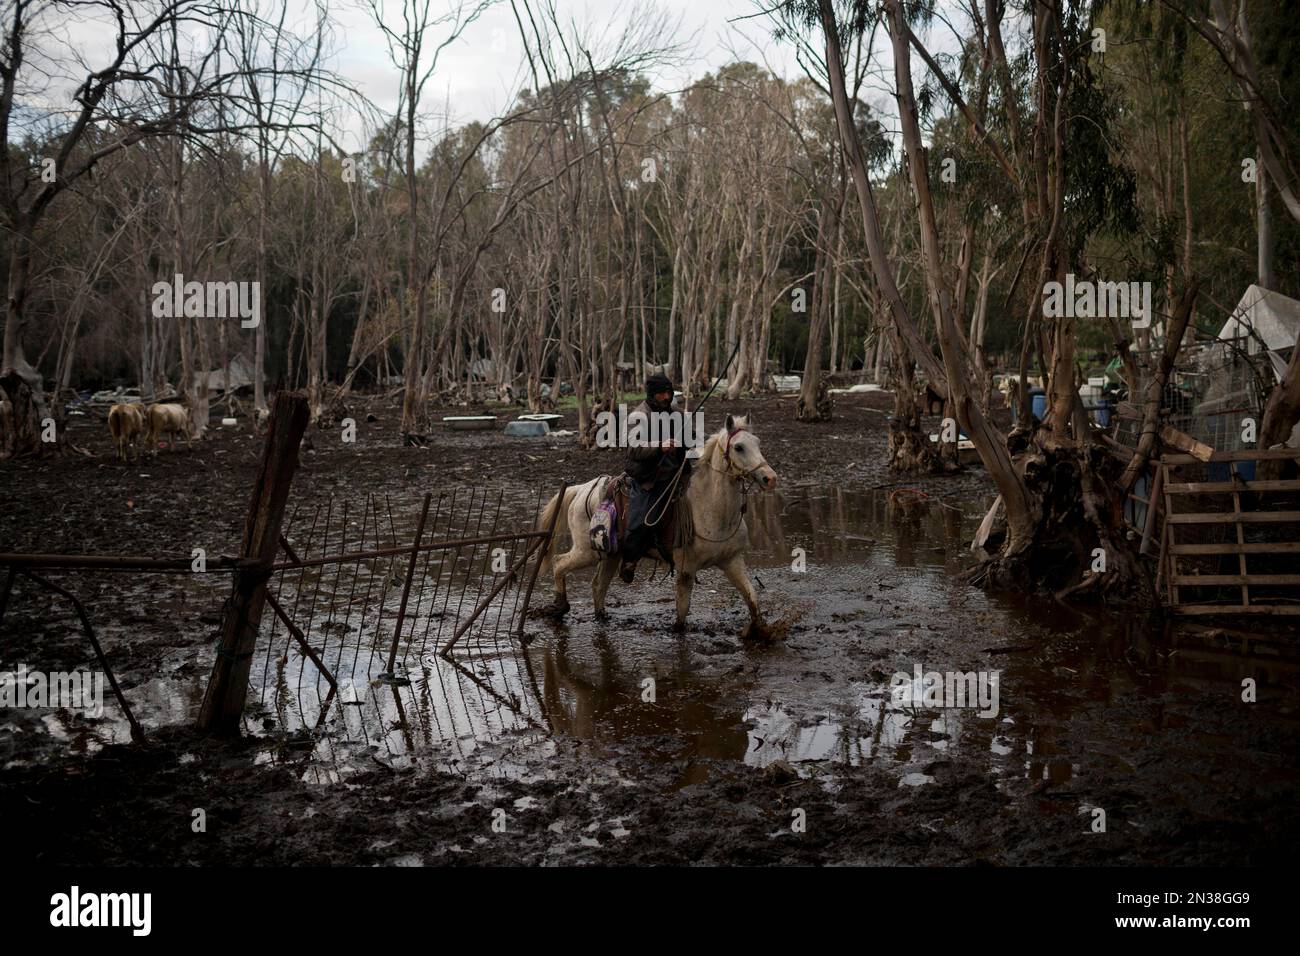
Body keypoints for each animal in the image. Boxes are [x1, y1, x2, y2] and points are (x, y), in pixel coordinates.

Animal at [537, 414, 778, 635]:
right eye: (739, 447)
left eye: (757, 442)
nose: (770, 478)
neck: (710, 508)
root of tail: (580, 489)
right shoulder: (686, 569)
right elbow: (682, 612)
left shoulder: (732, 561)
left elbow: (752, 597)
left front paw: (760, 631)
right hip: (587, 551)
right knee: (559, 563)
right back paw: (560, 607)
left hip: (610, 554)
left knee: (598, 585)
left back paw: (601, 619)